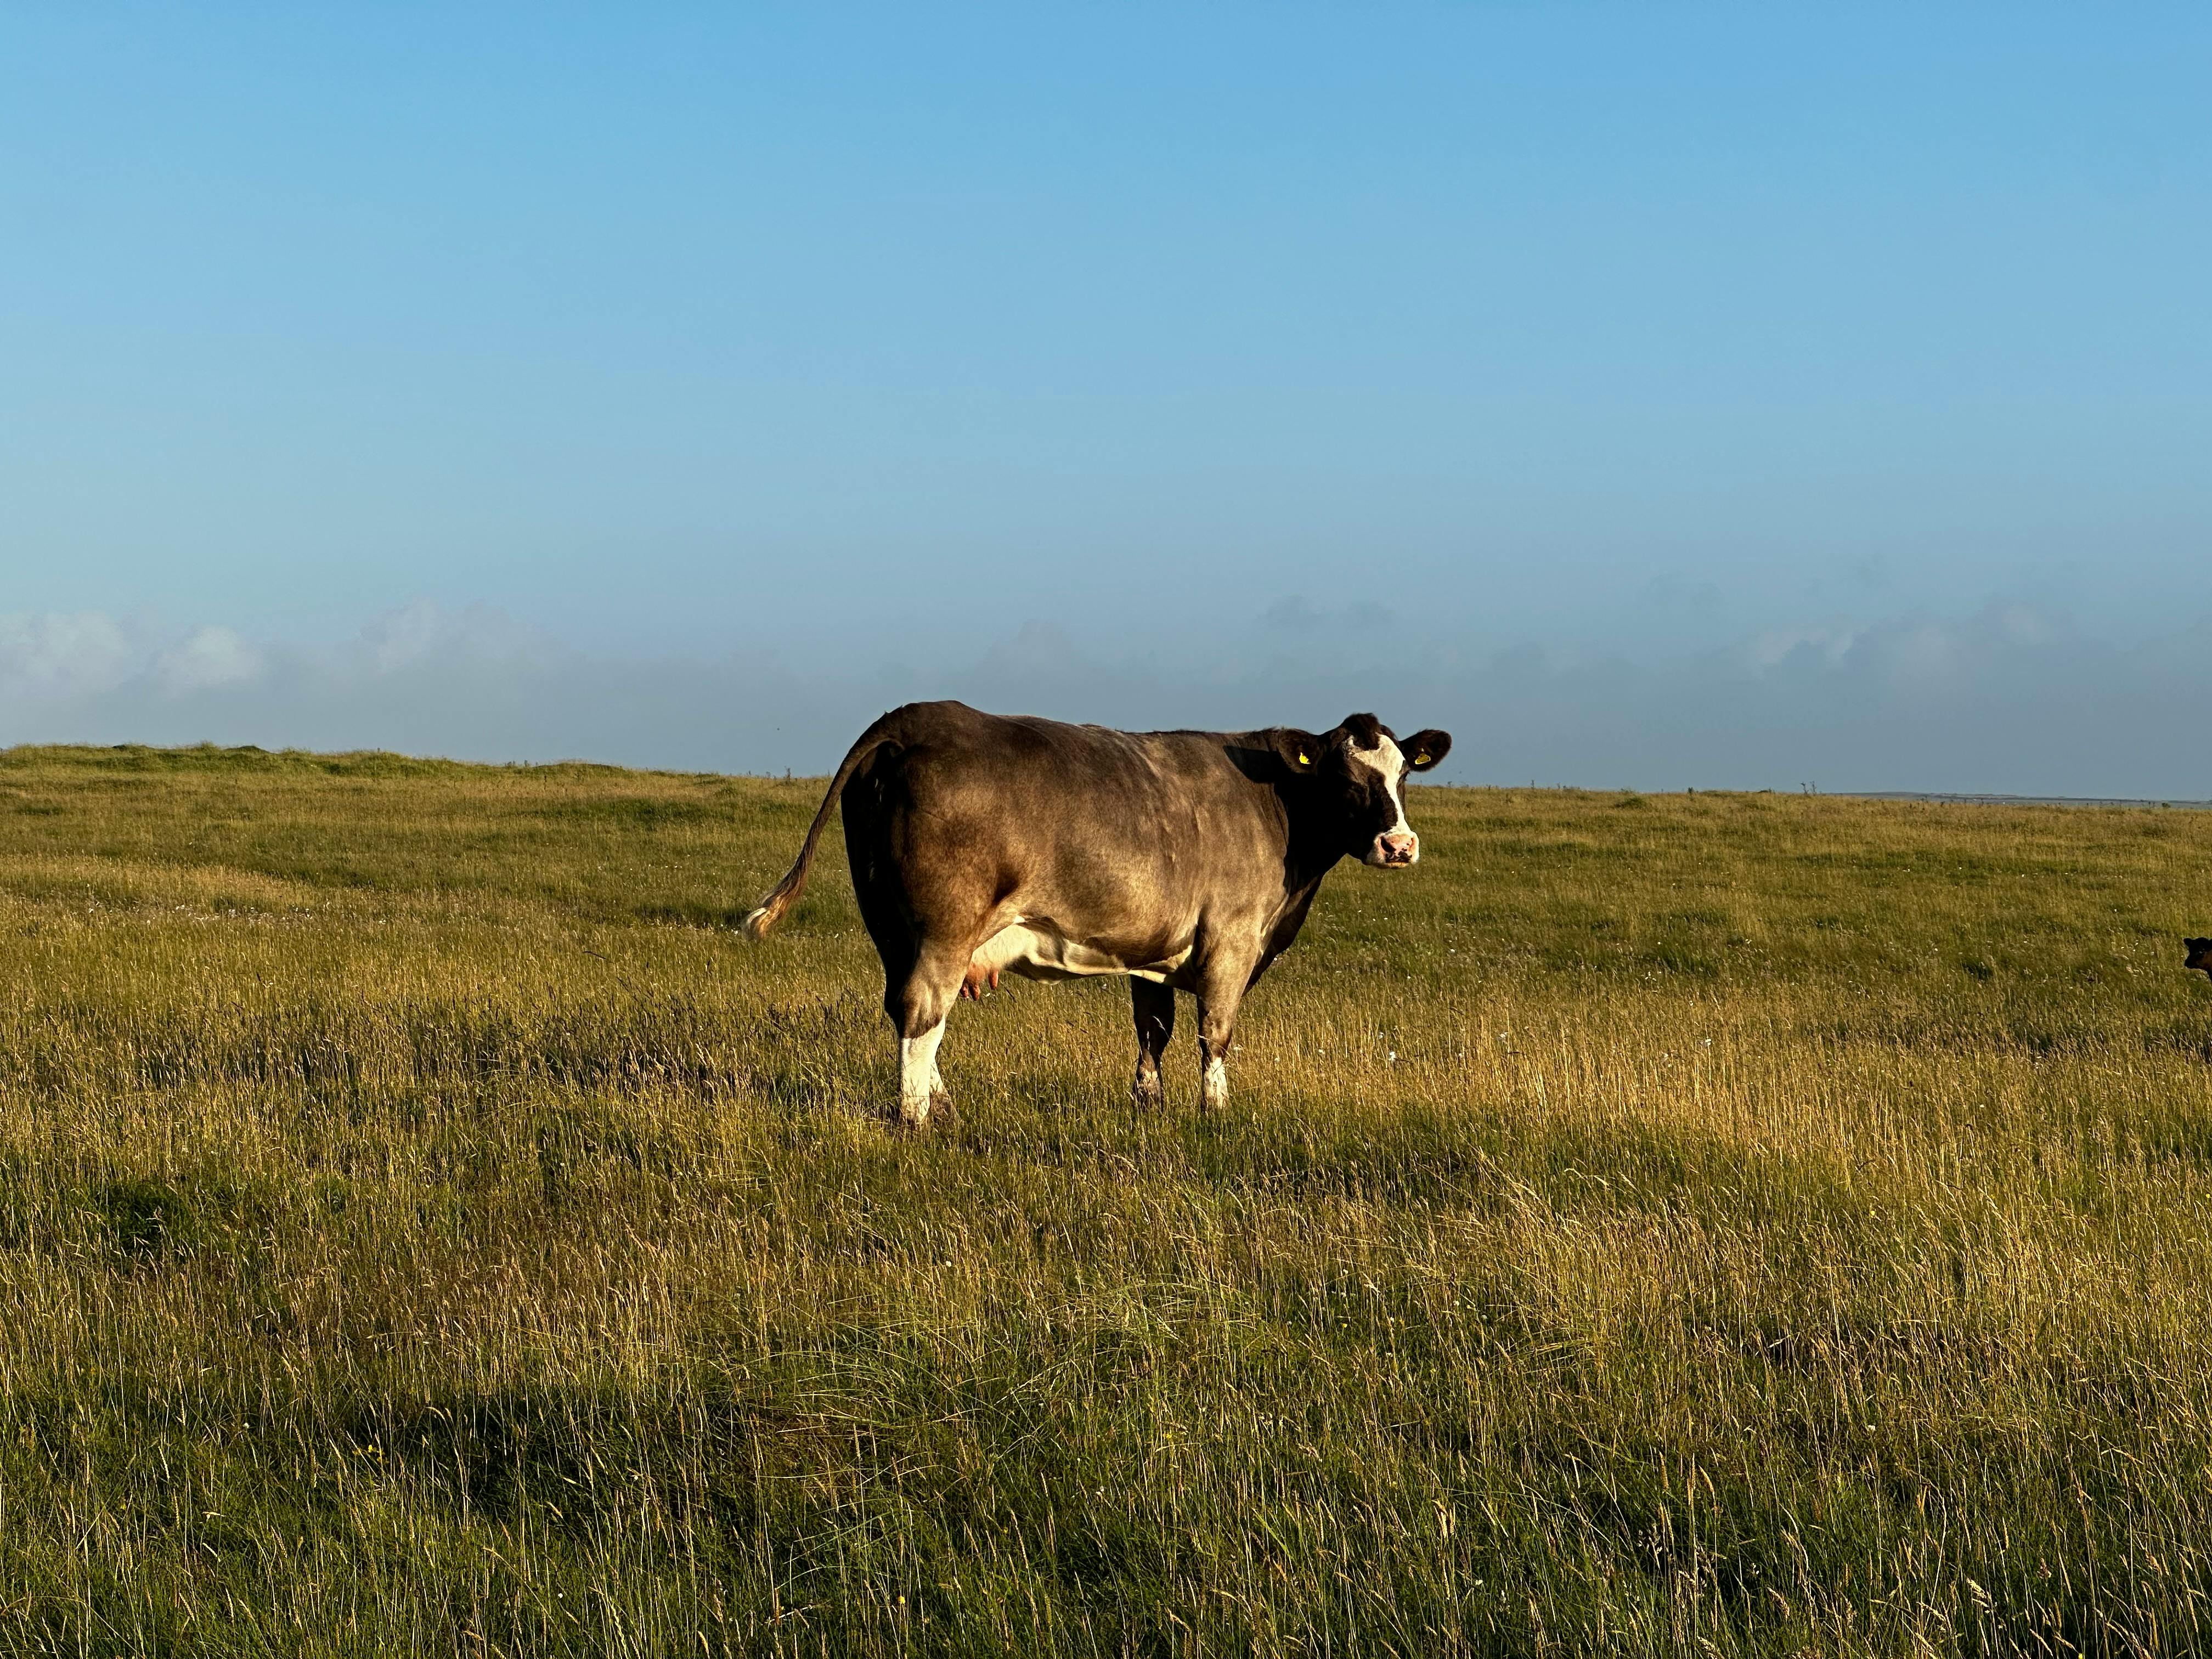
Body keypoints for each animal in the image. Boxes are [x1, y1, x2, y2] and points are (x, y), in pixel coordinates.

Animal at [743, 701, 1452, 1130]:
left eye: (1402, 777)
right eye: (1345, 779)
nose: (1400, 845)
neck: (1279, 808)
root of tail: (915, 717)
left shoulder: (1155, 949)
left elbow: (1153, 1032)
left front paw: (1149, 1106)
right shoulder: (1230, 941)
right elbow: (1214, 1035)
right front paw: (1215, 1113)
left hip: (889, 922)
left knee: (905, 1009)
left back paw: (941, 1105)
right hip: (944, 929)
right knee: (922, 1013)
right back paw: (918, 1119)